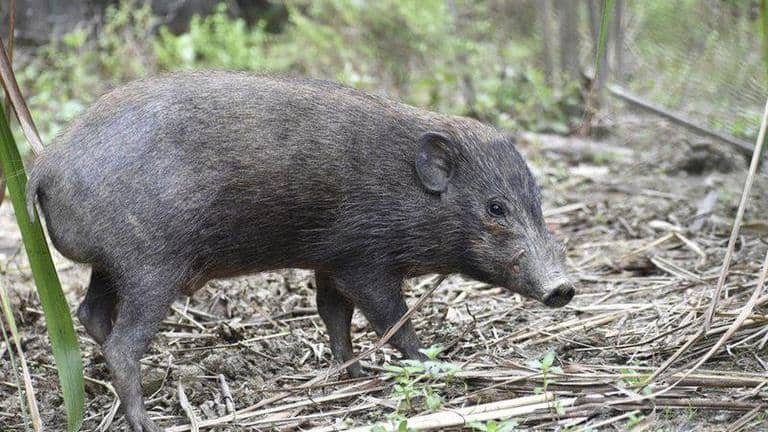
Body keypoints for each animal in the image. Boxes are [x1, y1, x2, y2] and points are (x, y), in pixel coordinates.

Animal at [26, 71, 574, 431]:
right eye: (496, 206)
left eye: (537, 198)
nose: (564, 287)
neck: (407, 188)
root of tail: (44, 165)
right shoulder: (366, 261)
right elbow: (391, 319)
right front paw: (432, 364)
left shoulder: (331, 259)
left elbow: (333, 314)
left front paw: (354, 373)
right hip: (150, 266)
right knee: (121, 341)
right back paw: (147, 422)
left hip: (111, 266)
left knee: (90, 313)